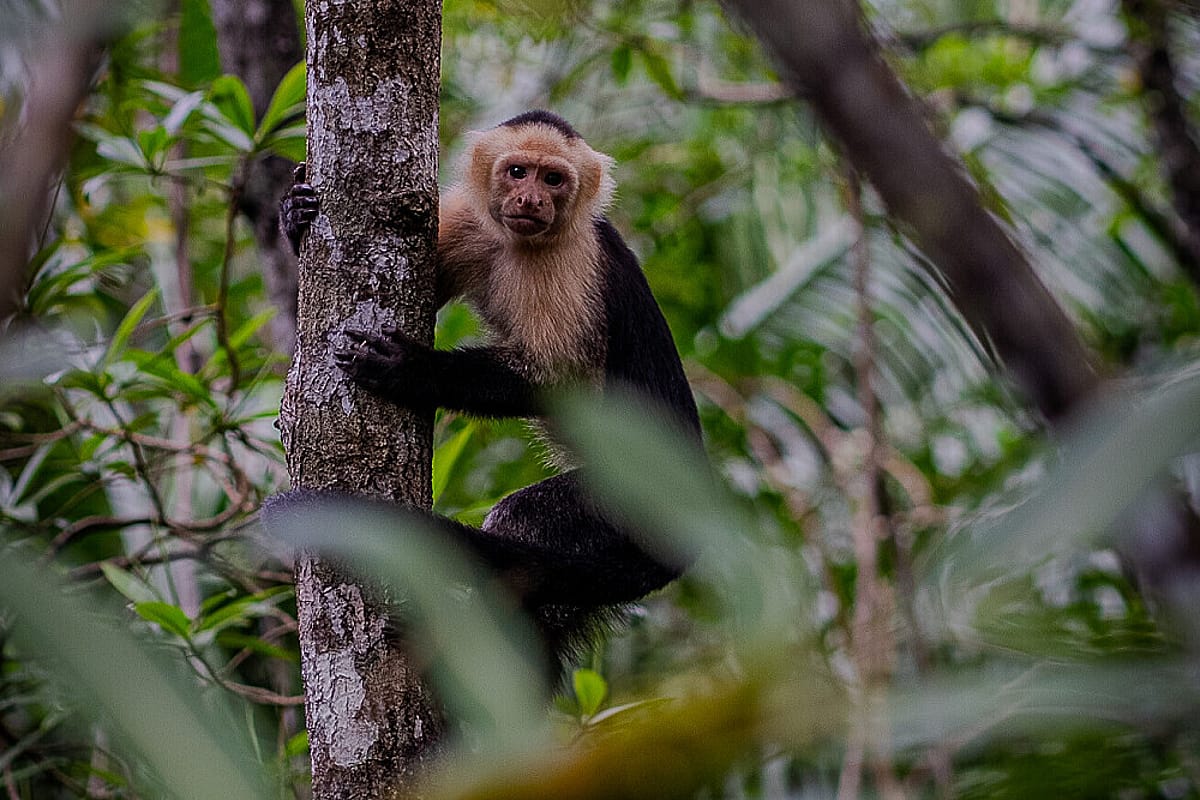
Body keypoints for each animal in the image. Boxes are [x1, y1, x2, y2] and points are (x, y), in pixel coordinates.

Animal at [276, 110, 701, 681]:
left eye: (553, 179)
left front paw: (411, 369)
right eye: (517, 171)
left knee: (524, 521)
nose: (530, 200)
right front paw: (293, 216)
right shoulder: (466, 222)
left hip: (633, 499)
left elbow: (554, 379)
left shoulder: (571, 265)